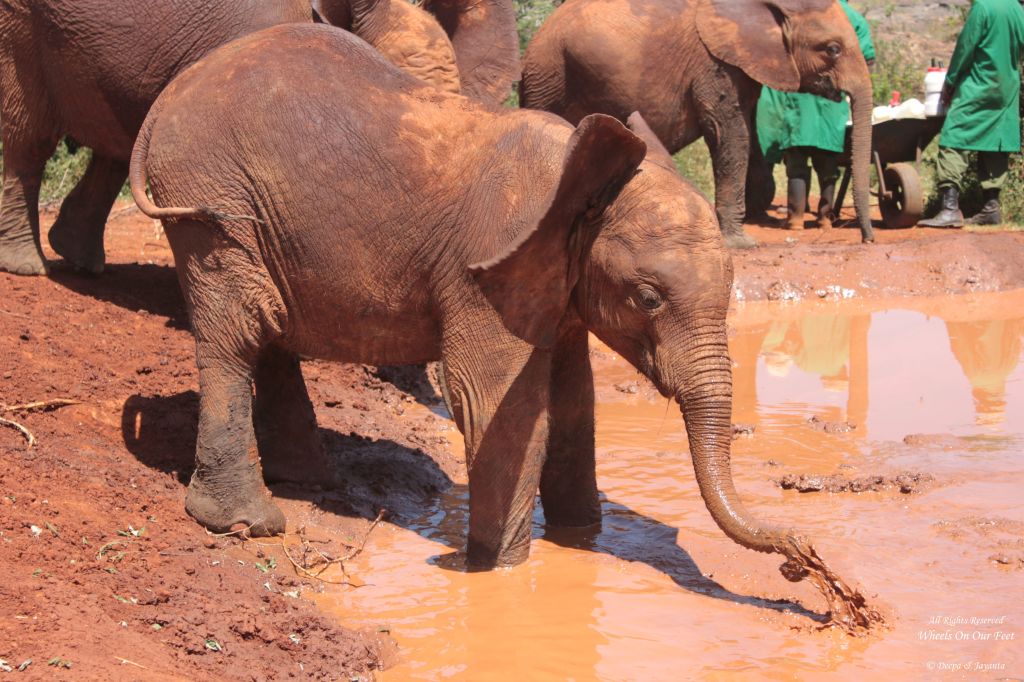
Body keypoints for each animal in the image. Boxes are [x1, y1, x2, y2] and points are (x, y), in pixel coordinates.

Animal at [519, 0, 874, 249]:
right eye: (832, 49)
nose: (868, 240)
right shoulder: (713, 62)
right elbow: (730, 133)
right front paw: (742, 243)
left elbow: (748, 130)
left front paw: (755, 214)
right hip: (549, 76)